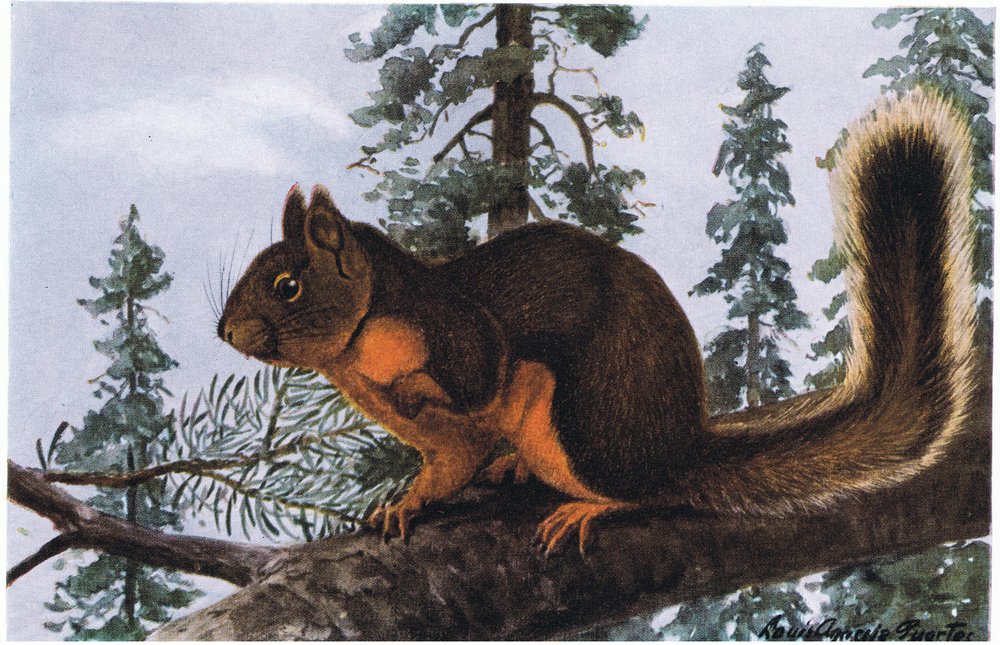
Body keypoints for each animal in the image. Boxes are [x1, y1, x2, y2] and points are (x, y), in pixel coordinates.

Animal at [219, 88, 977, 554]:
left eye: (287, 285)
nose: (225, 332)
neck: (358, 344)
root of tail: (678, 446)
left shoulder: (449, 329)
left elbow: (476, 375)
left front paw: (415, 403)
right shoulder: (446, 443)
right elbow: (447, 466)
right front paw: (405, 502)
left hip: (582, 423)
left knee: (644, 495)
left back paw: (591, 506)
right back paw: (517, 470)